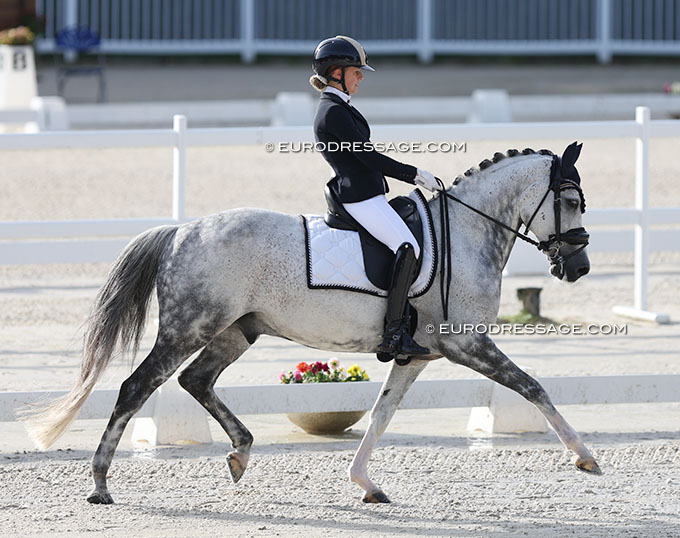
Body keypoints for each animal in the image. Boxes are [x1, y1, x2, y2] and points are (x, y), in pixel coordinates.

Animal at [22, 143, 600, 505]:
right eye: (570, 200)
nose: (579, 268)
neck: (466, 229)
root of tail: (183, 230)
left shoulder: (417, 354)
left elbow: (381, 414)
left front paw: (365, 483)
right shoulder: (469, 345)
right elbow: (533, 387)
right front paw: (586, 458)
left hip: (237, 330)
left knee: (195, 380)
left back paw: (240, 452)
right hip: (189, 326)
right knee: (137, 386)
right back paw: (100, 485)